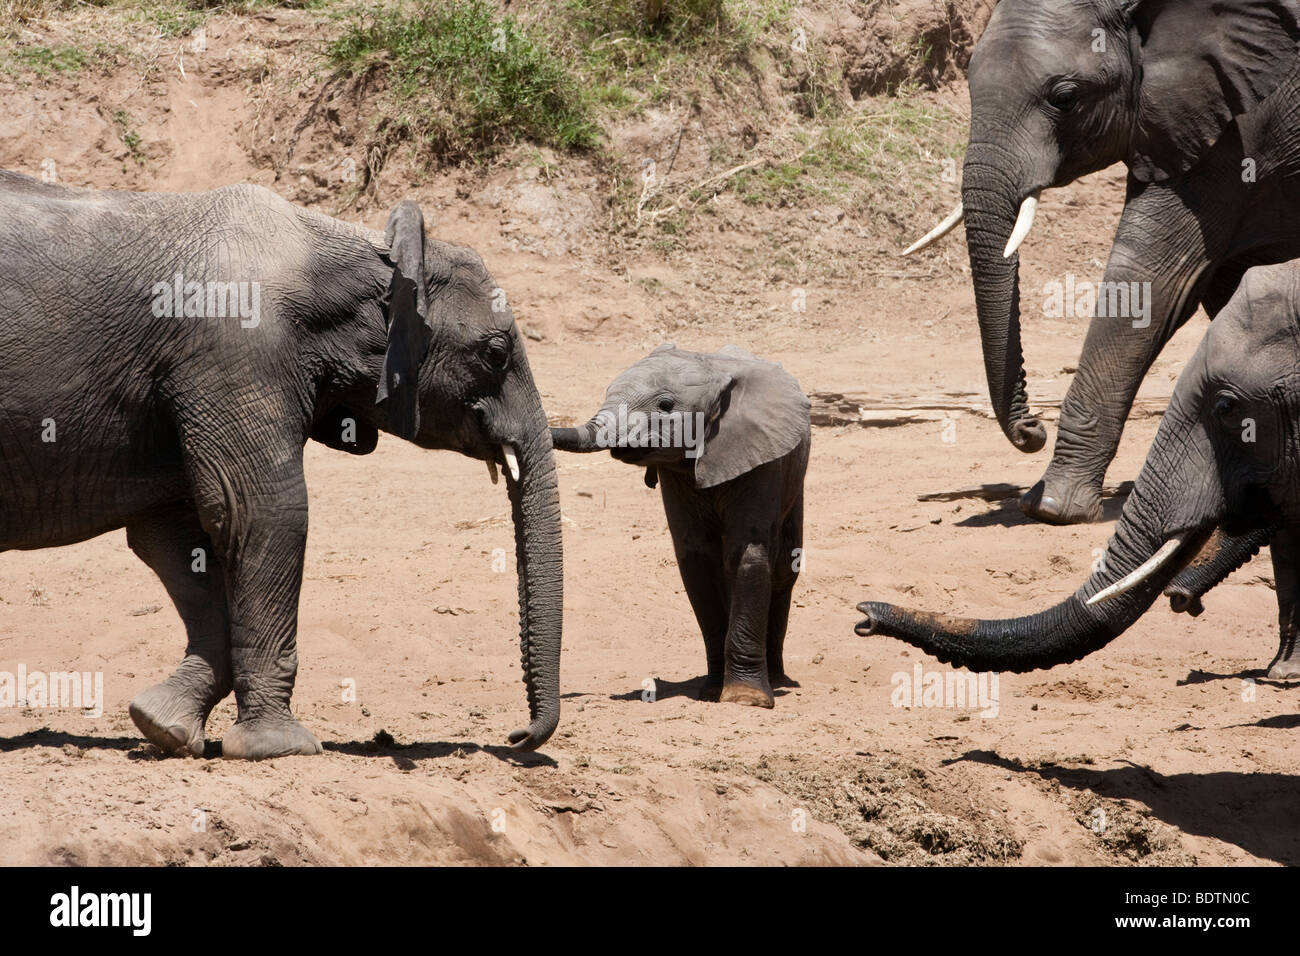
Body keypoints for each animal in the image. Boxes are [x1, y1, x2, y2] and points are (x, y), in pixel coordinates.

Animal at [0, 170, 563, 758]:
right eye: (495, 354)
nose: (516, 736)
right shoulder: (239, 352)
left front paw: (165, 726)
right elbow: (264, 512)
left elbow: (177, 538)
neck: (365, 253)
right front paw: (279, 747)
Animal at [551, 345, 810, 707]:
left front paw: (746, 699)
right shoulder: (674, 474)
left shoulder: (760, 458)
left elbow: (747, 554)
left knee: (785, 568)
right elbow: (697, 560)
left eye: (665, 406)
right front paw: (713, 692)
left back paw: (778, 679)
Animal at [904, 0, 1300, 525]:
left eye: (1065, 98)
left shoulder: (1240, 125)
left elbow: (1151, 278)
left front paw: (1051, 507)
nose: (1032, 429)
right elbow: (1220, 284)